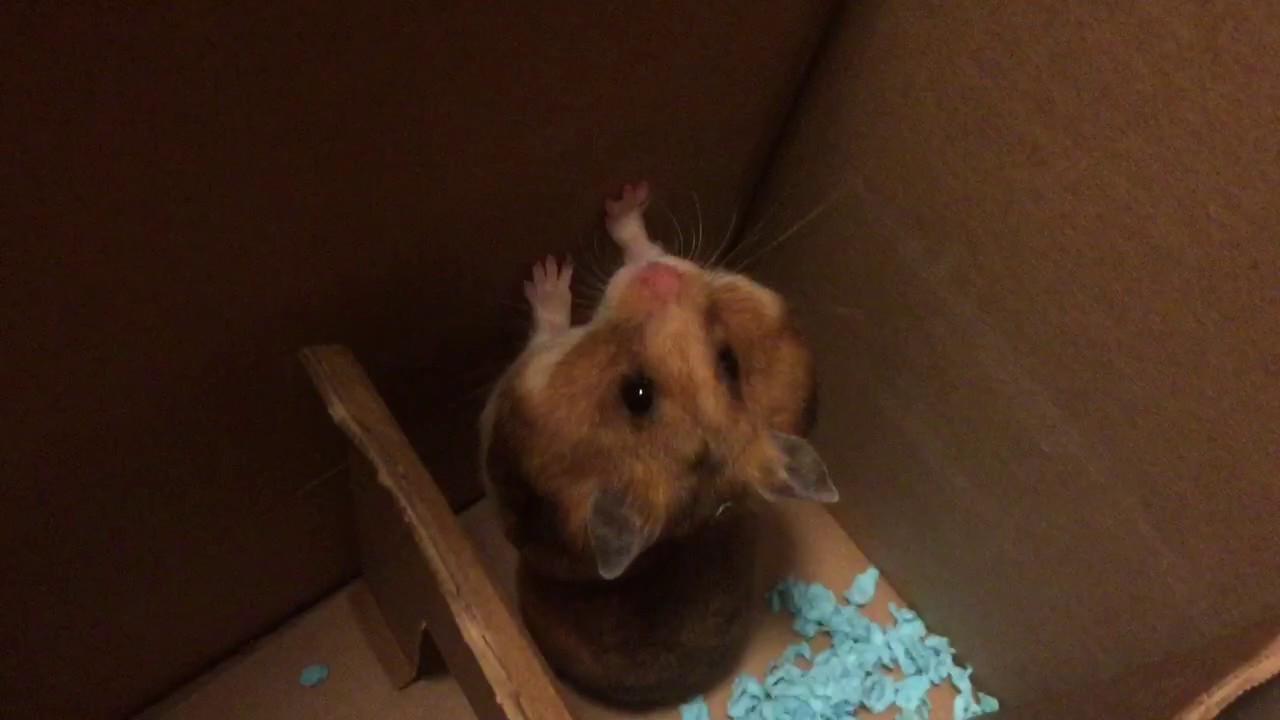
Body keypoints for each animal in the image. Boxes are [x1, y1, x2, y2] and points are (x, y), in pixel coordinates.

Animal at [479, 181, 838, 708]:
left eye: (637, 394)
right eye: (727, 361)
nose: (662, 282)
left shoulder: (526, 370)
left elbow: (552, 320)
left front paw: (549, 271)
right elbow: (646, 247)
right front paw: (627, 199)